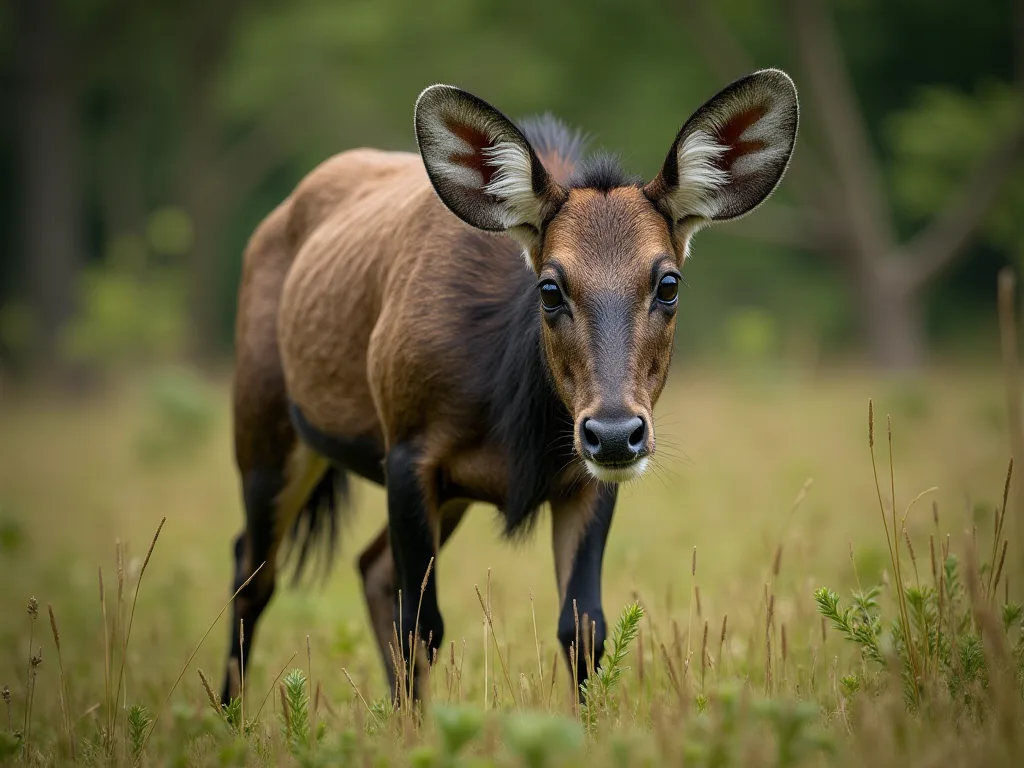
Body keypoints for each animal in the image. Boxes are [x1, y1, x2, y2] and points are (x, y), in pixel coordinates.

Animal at [221, 69, 798, 704]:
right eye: (550, 287)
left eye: (668, 283)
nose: (614, 433)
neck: (513, 415)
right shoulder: (408, 449)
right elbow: (421, 624)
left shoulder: (582, 481)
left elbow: (583, 626)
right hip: (263, 426)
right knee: (253, 572)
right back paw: (228, 715)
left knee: (367, 567)